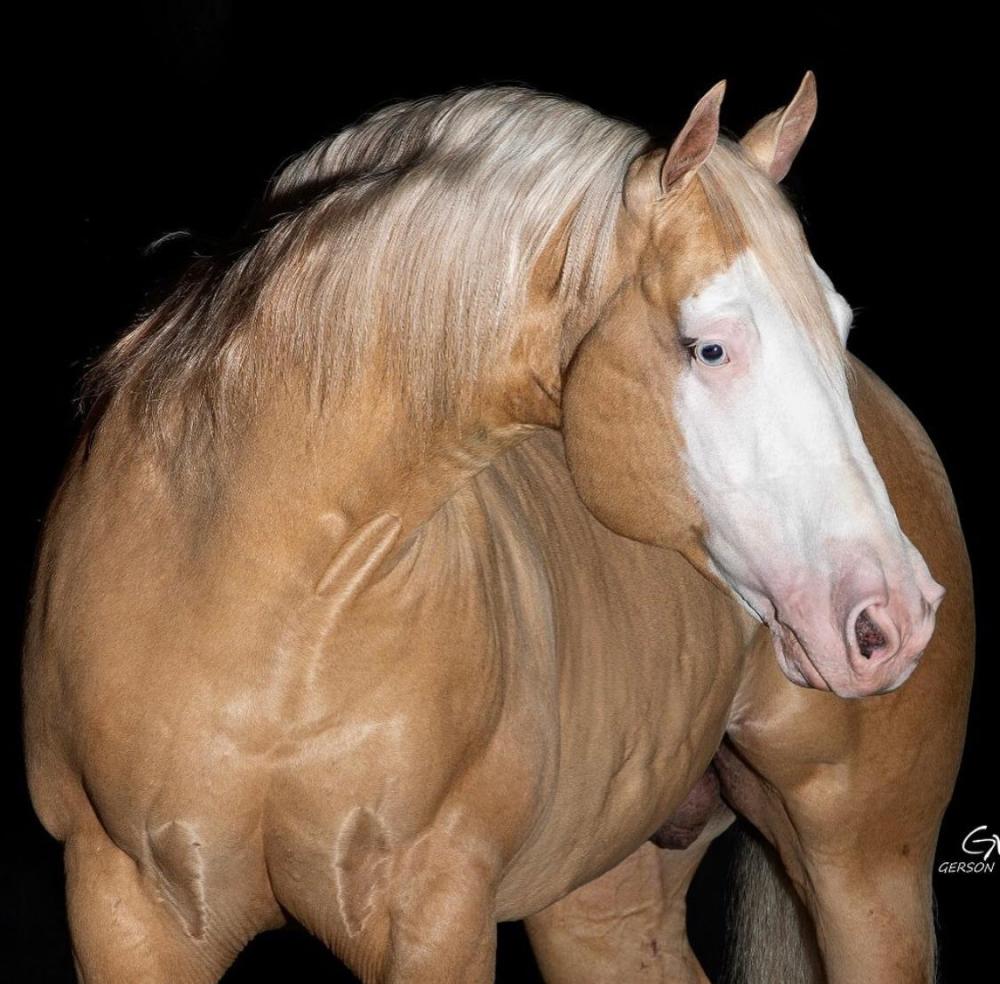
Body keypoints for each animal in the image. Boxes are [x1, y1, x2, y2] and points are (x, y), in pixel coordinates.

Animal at [21, 74, 972, 984]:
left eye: (838, 327)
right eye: (710, 347)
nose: (893, 617)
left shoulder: (436, 915)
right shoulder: (120, 911)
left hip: (863, 874)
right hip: (604, 902)